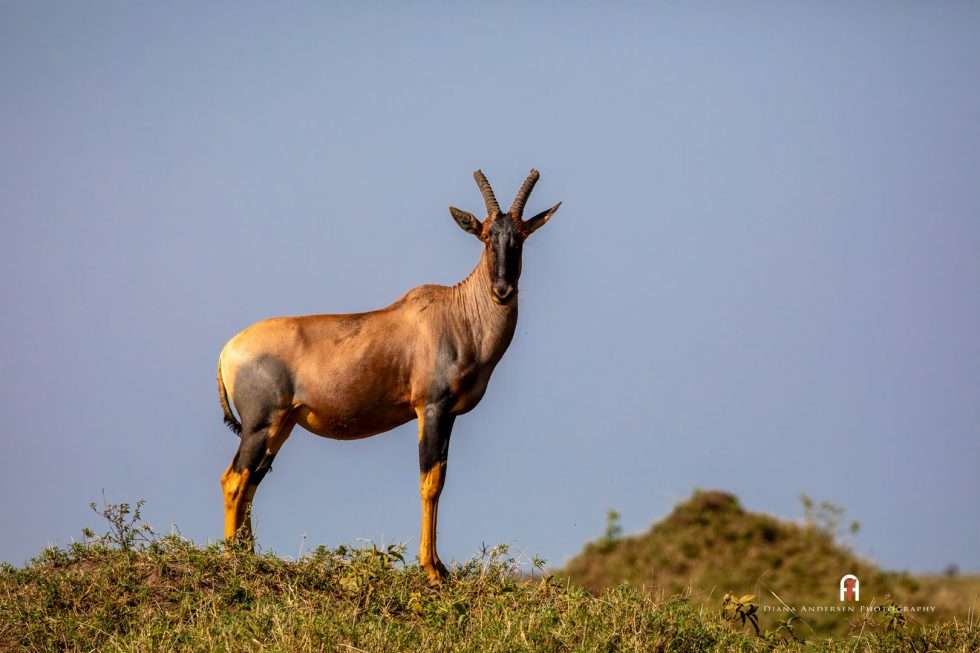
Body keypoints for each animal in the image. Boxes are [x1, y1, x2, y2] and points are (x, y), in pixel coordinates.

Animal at [217, 169, 561, 583]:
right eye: (485, 236)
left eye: (520, 236)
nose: (502, 290)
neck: (457, 313)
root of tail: (227, 351)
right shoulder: (431, 408)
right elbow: (430, 481)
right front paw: (432, 570)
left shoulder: (447, 415)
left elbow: (440, 478)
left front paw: (440, 567)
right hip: (260, 424)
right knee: (234, 480)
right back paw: (233, 560)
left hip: (281, 426)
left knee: (251, 481)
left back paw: (249, 557)